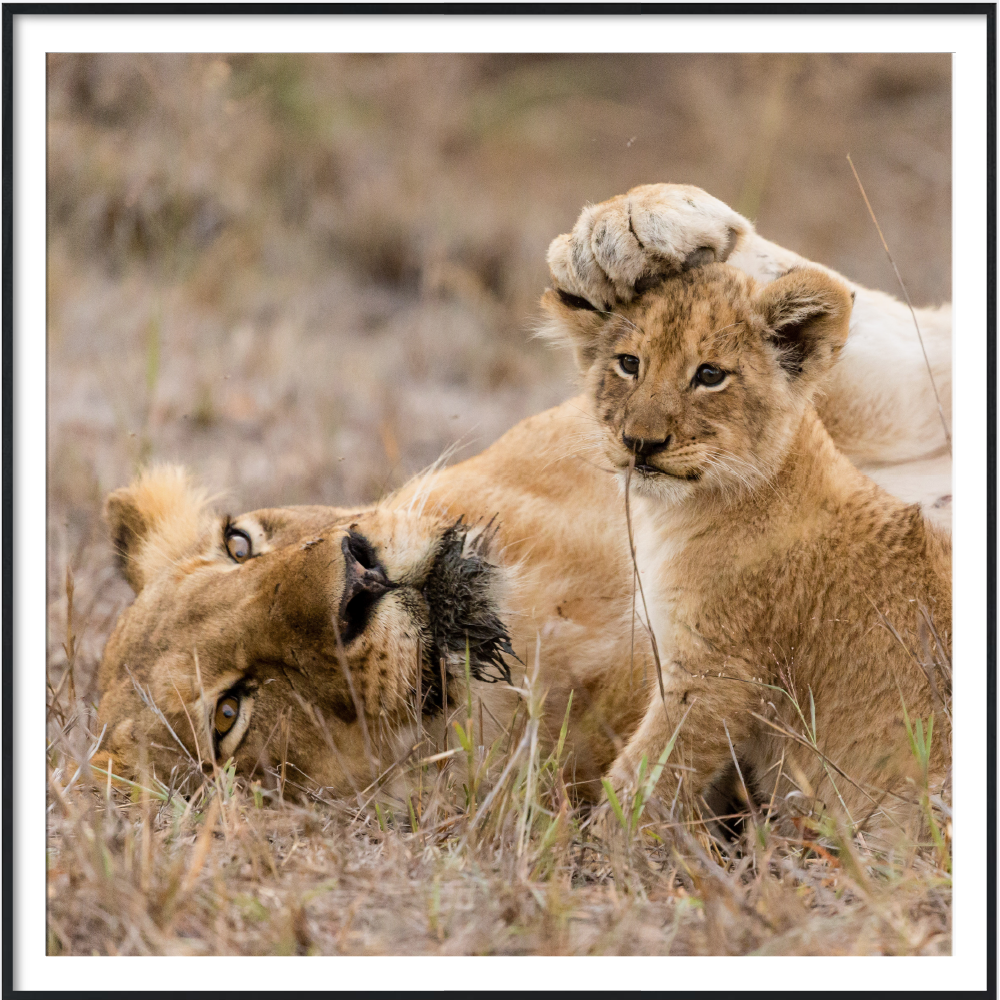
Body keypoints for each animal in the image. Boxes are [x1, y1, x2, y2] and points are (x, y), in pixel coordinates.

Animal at [93, 184, 951, 829]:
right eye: (229, 716)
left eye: (239, 541)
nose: (357, 577)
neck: (553, 610)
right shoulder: (707, 682)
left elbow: (851, 332)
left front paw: (633, 234)